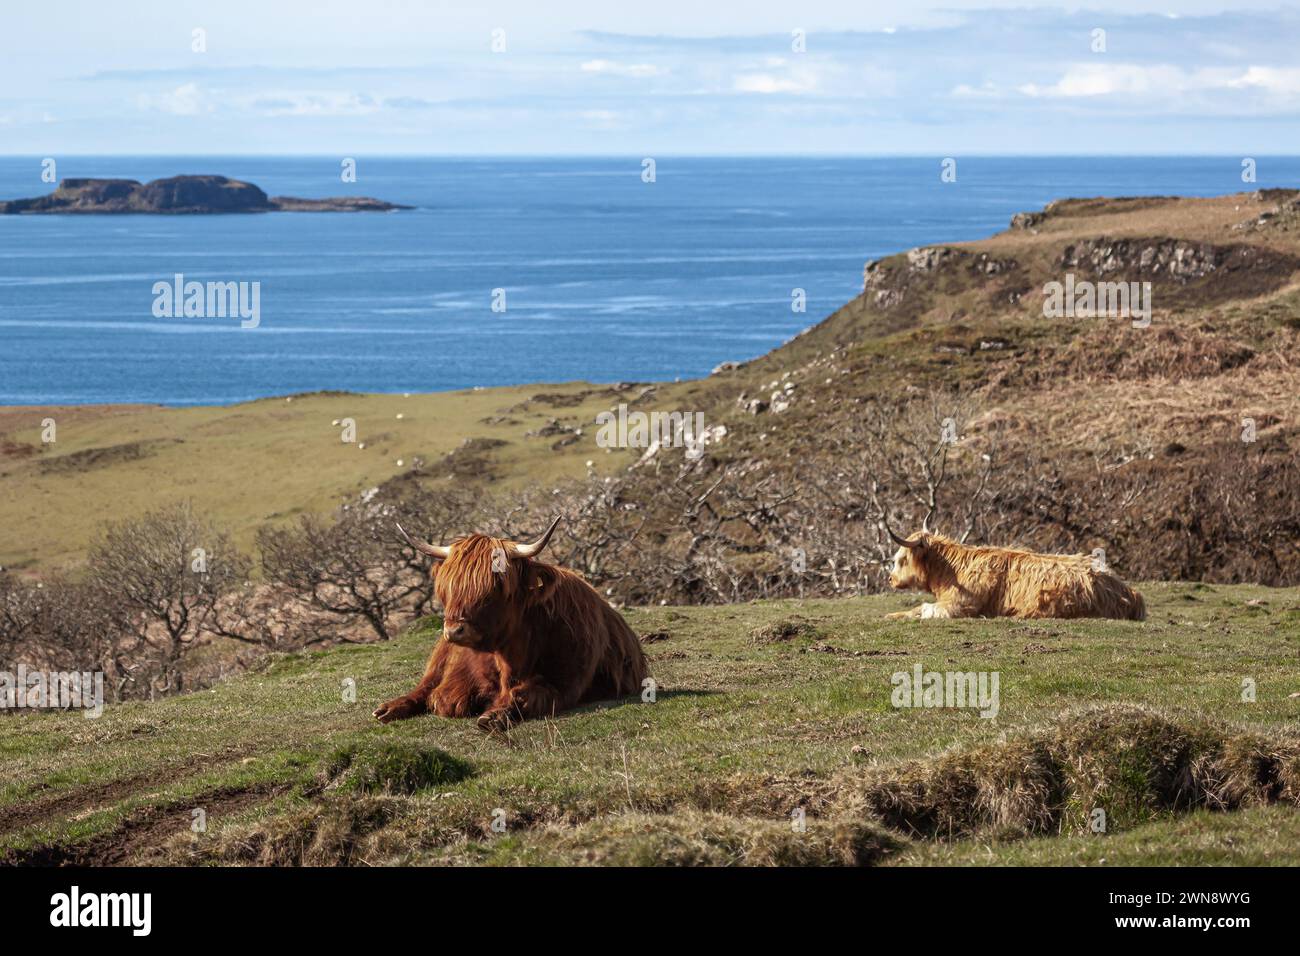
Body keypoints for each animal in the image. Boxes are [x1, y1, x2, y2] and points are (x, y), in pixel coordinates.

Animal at [373, 517, 649, 733]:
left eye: (493, 590)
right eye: (448, 588)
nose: (454, 630)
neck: (509, 656)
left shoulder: (566, 684)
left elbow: (525, 695)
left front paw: (494, 715)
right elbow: (442, 697)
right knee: (423, 687)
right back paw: (387, 709)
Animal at [881, 522, 1145, 621]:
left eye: (901, 559)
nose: (890, 578)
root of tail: (1129, 592)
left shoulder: (960, 605)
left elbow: (923, 608)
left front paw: (892, 616)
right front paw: (890, 615)